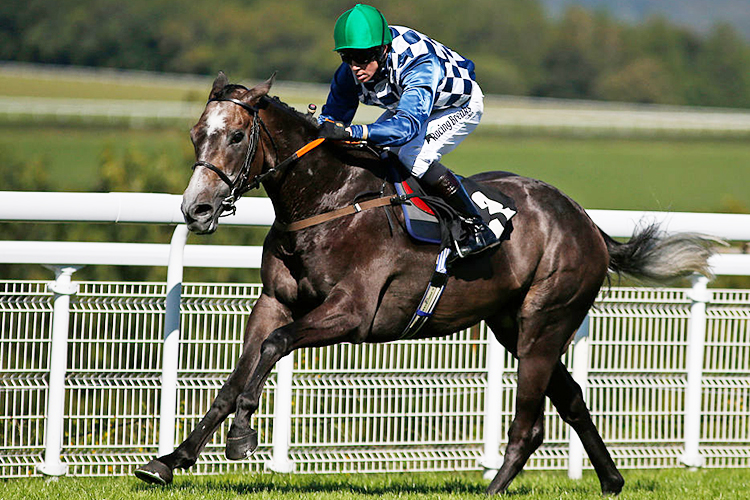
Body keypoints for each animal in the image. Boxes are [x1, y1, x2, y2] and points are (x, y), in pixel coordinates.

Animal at [135, 72, 716, 495]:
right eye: (196, 135)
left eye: (236, 135)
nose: (195, 209)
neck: (328, 200)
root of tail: (587, 223)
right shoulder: (275, 301)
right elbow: (235, 377)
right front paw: (170, 460)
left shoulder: (352, 313)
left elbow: (275, 347)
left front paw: (241, 436)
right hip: (513, 325)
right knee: (571, 399)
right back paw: (612, 480)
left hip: (545, 321)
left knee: (529, 424)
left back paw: (494, 490)